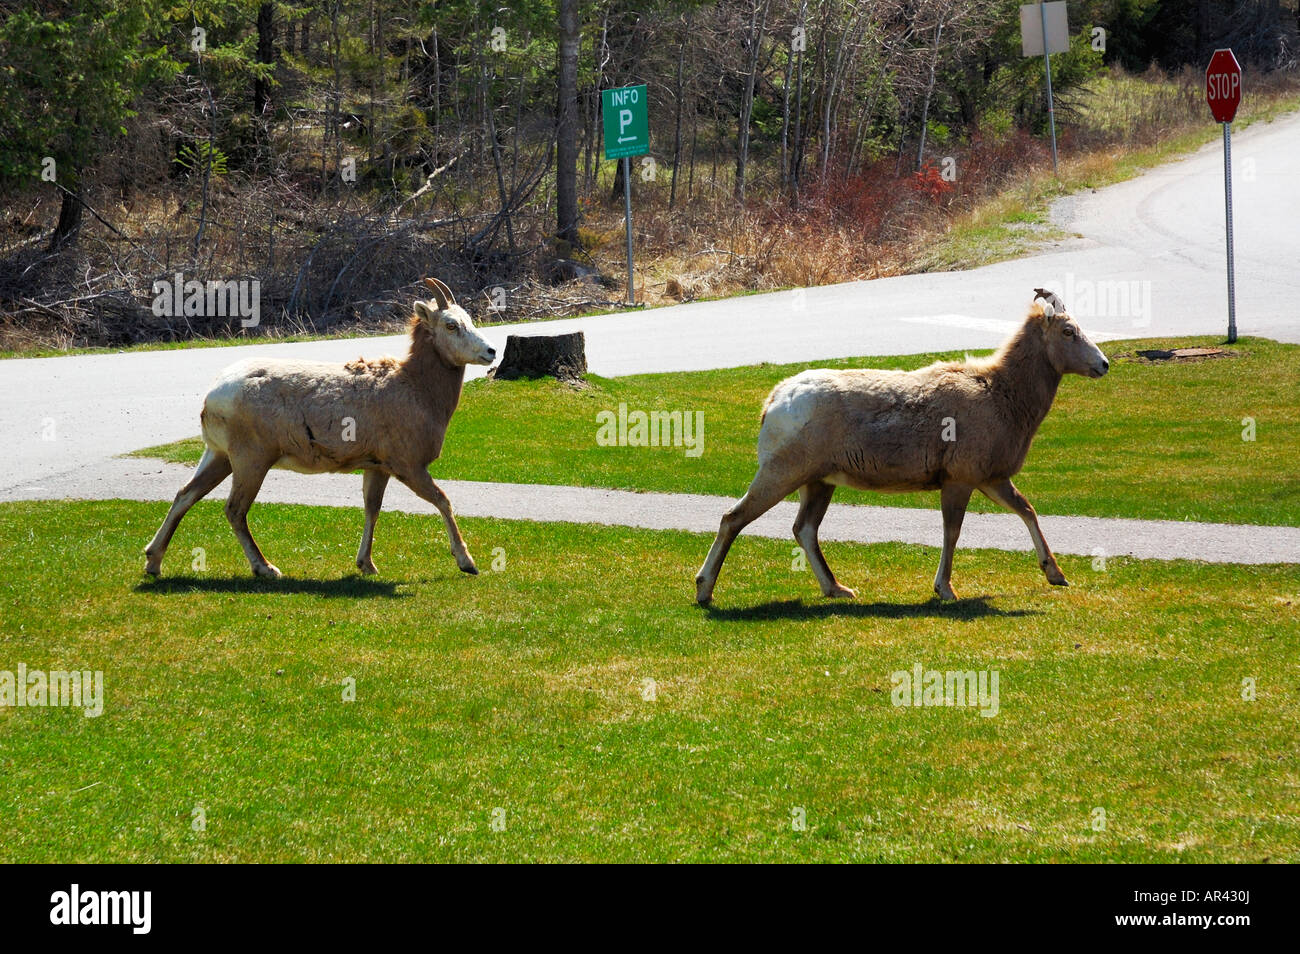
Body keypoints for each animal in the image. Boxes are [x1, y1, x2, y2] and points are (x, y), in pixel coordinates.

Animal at [144, 277, 496, 579]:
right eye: (451, 324)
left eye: (470, 319)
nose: (491, 351)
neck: (417, 390)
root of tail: (211, 398)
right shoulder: (407, 464)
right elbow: (443, 500)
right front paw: (467, 563)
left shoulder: (377, 465)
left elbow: (372, 508)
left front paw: (367, 565)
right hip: (251, 459)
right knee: (234, 509)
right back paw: (266, 568)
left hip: (218, 455)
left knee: (185, 494)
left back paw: (153, 562)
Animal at [695, 290, 1110, 604]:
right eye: (1068, 331)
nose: (1103, 364)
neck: (1001, 394)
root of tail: (775, 401)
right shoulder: (960, 480)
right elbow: (952, 532)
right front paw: (946, 591)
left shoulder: (991, 479)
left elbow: (1027, 510)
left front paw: (1057, 575)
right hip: (782, 472)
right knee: (733, 518)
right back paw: (704, 592)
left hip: (819, 482)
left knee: (804, 529)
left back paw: (839, 589)